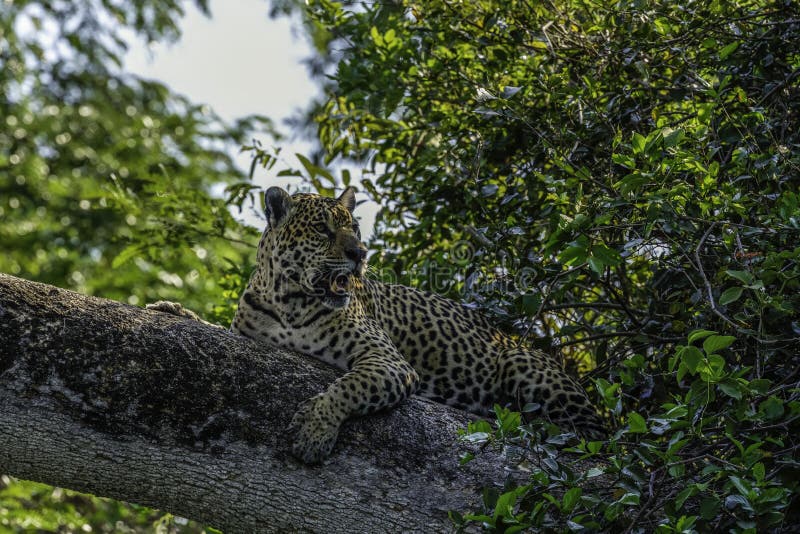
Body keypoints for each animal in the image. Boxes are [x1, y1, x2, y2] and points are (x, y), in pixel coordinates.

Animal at [152, 186, 606, 463]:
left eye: (355, 228)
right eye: (323, 230)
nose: (360, 254)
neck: (290, 301)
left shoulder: (387, 361)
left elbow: (350, 386)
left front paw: (315, 430)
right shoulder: (247, 336)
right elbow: (217, 330)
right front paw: (175, 310)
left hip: (521, 364)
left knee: (594, 435)